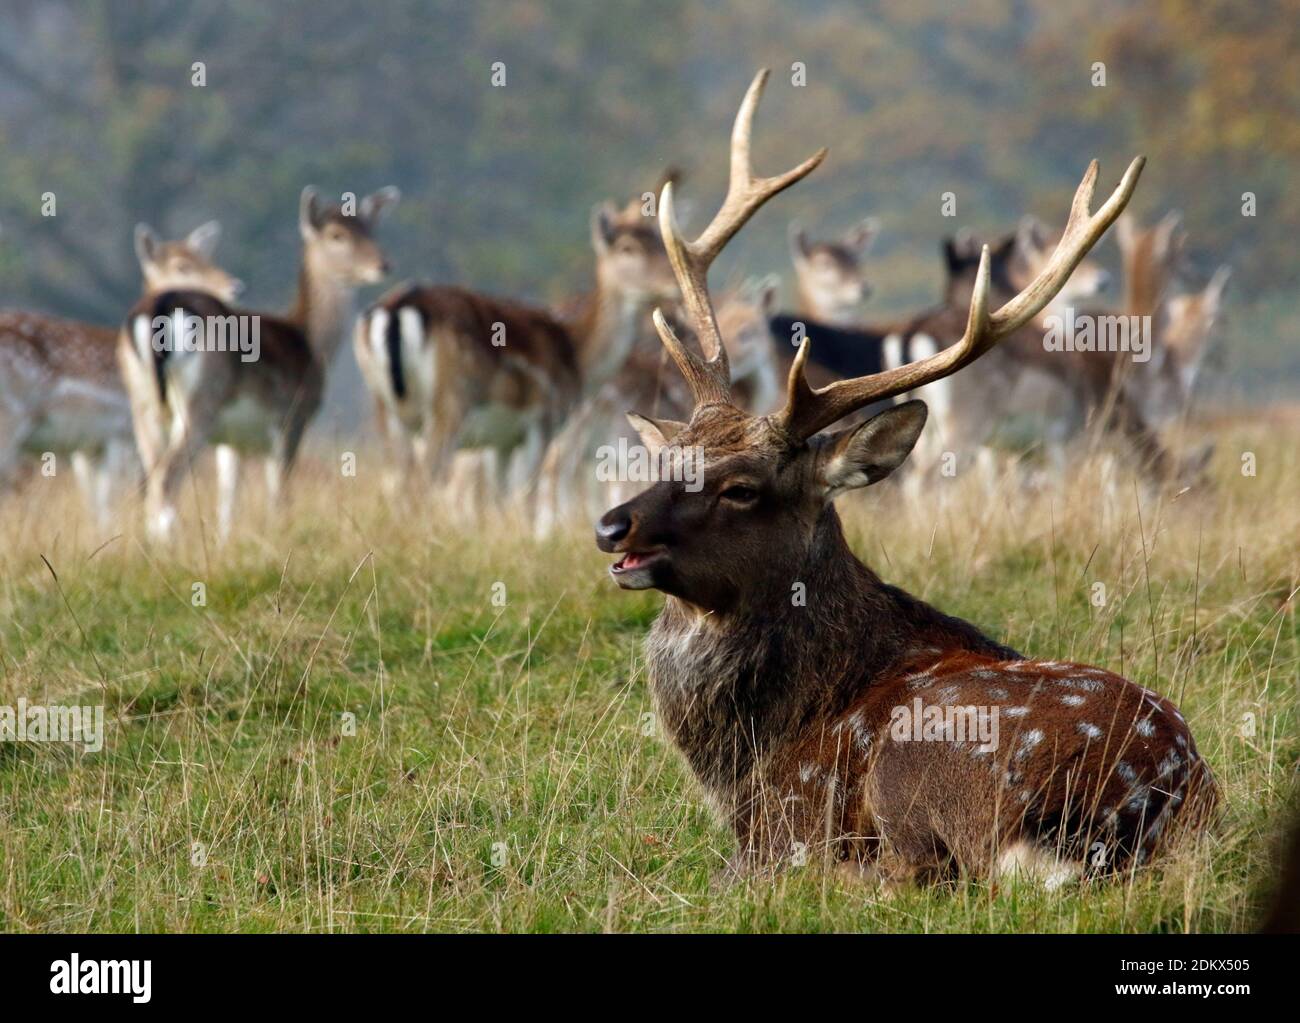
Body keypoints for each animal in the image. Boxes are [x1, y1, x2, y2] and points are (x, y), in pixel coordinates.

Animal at [0, 221, 241, 524]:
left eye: (208, 259)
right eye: (182, 266)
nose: (234, 287)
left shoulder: (92, 446)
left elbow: (97, 507)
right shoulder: (121, 432)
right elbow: (113, 504)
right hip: (11, 420)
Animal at [119, 186, 398, 541]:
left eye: (369, 229)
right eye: (337, 235)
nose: (382, 264)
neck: (310, 341)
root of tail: (159, 306)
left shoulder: (233, 440)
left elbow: (228, 502)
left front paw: (225, 544)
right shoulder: (291, 418)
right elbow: (280, 494)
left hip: (142, 403)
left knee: (151, 476)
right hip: (199, 402)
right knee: (166, 477)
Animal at [595, 70, 1216, 888]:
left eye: (742, 488)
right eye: (670, 459)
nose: (613, 524)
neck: (745, 760)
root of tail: (1151, 799)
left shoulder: (778, 825)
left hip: (917, 764)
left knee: (920, 872)